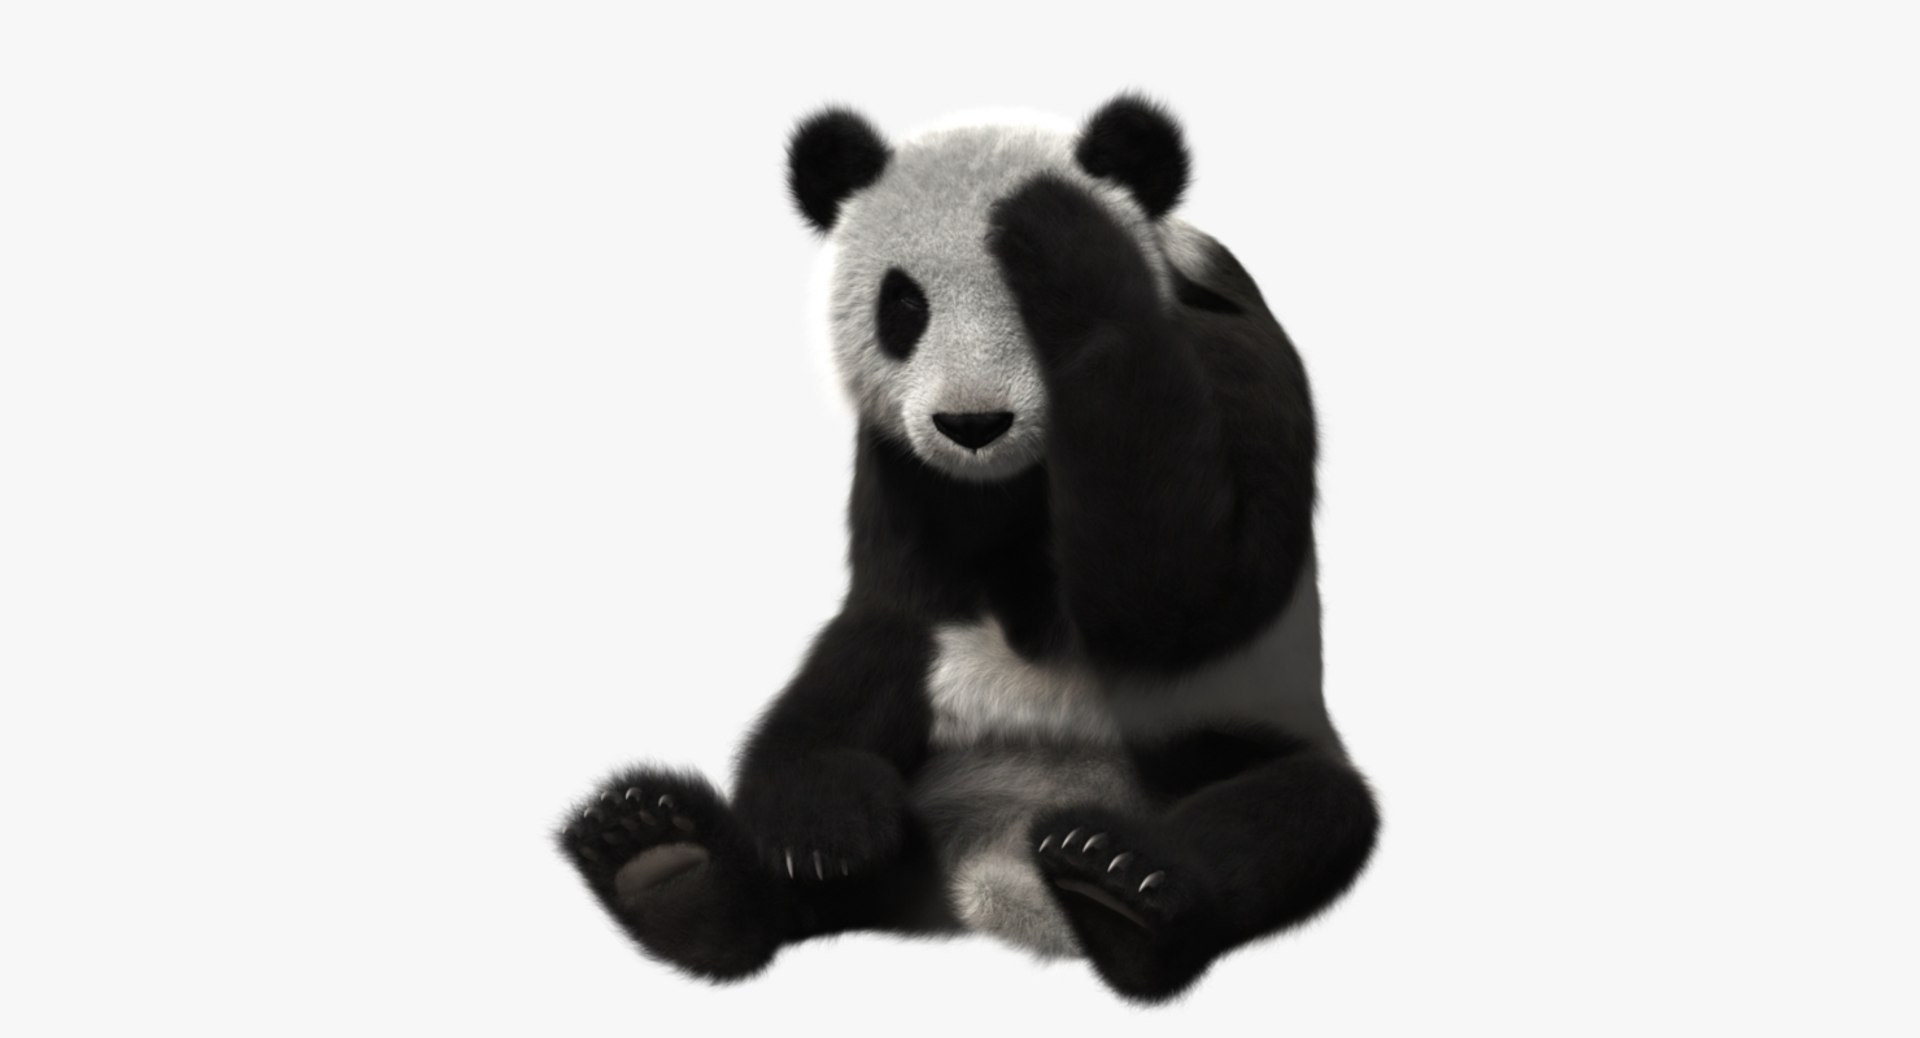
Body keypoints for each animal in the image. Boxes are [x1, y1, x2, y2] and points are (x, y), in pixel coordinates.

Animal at [558, 93, 1379, 1003]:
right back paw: (676, 861)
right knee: (838, 703)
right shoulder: (899, 468)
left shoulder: (1227, 362)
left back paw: (1117, 890)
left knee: (1293, 807)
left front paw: (1060, 229)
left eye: (1029, 310)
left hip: (1224, 740)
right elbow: (882, 614)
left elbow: (1190, 601)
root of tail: (984, 869)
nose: (973, 425)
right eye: (903, 305)